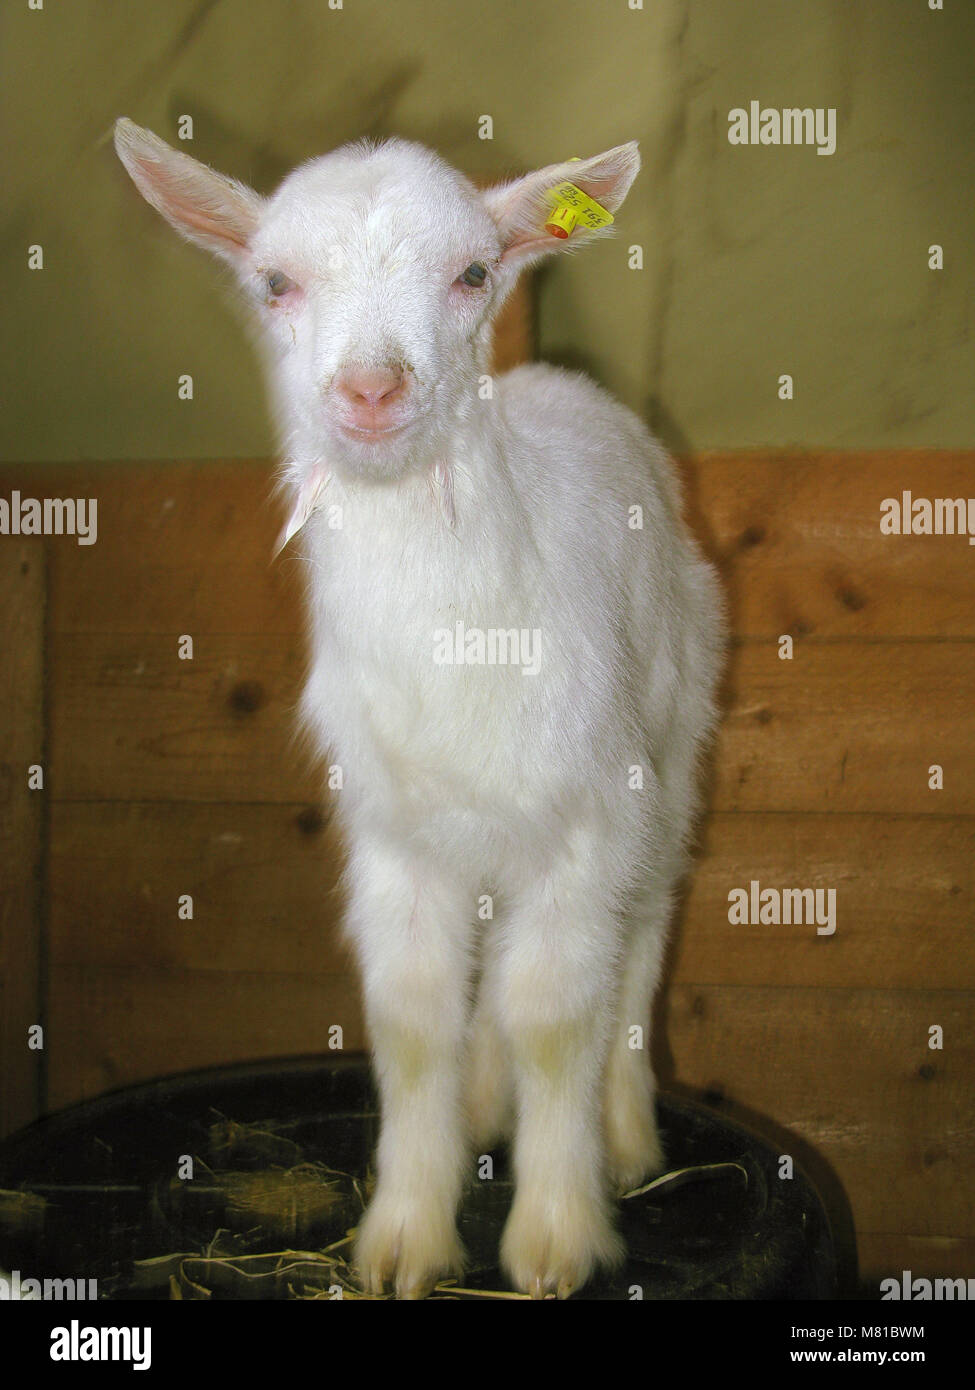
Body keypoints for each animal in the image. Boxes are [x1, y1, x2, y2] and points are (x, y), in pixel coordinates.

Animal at [114, 119, 726, 1299]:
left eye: (474, 273)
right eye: (274, 281)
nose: (369, 391)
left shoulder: (588, 819)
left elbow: (556, 1018)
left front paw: (553, 1239)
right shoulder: (393, 832)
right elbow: (410, 1020)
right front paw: (403, 1239)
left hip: (671, 751)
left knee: (640, 940)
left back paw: (626, 1135)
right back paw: (487, 1105)